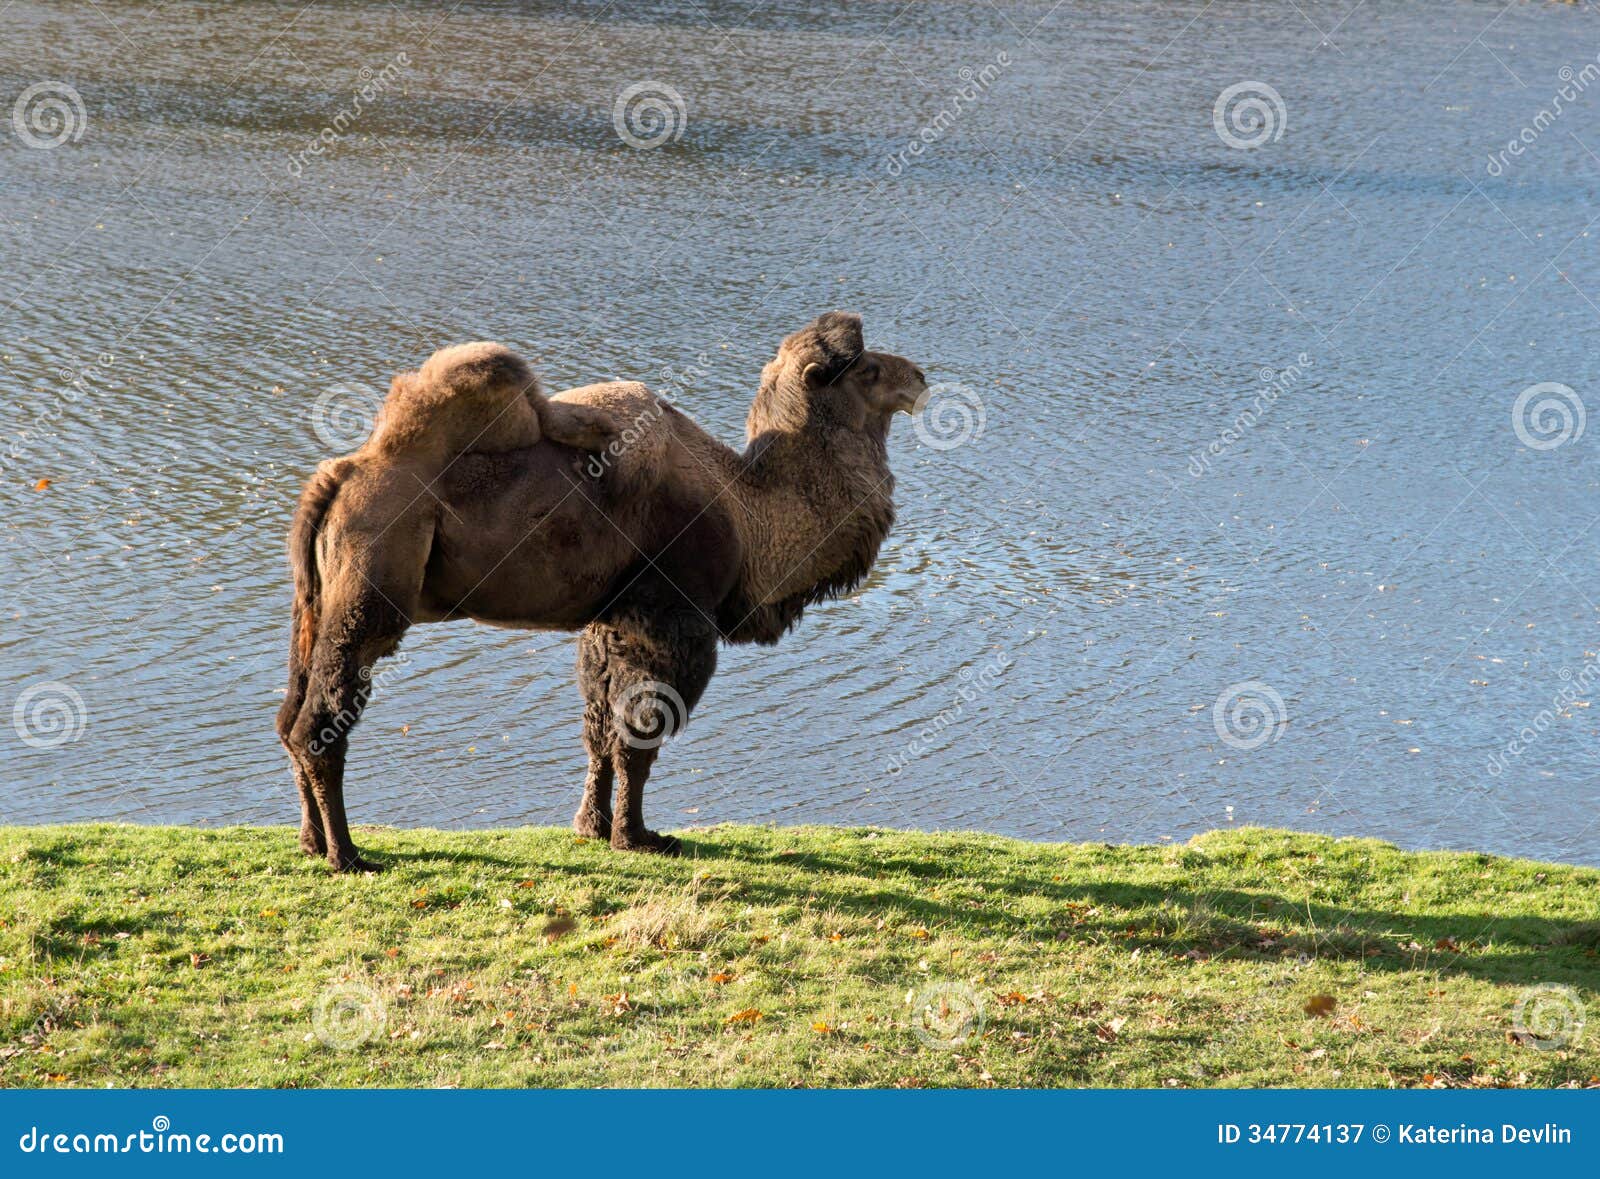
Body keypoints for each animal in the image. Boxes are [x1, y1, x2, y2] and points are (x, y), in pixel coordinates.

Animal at [275, 312, 928, 871]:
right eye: (868, 369)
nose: (920, 378)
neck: (749, 513)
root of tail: (340, 477)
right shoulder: (671, 621)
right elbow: (642, 732)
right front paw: (637, 838)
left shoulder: (610, 620)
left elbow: (600, 729)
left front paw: (592, 829)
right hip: (371, 594)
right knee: (319, 725)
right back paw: (348, 856)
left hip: (315, 606)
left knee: (289, 717)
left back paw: (311, 843)